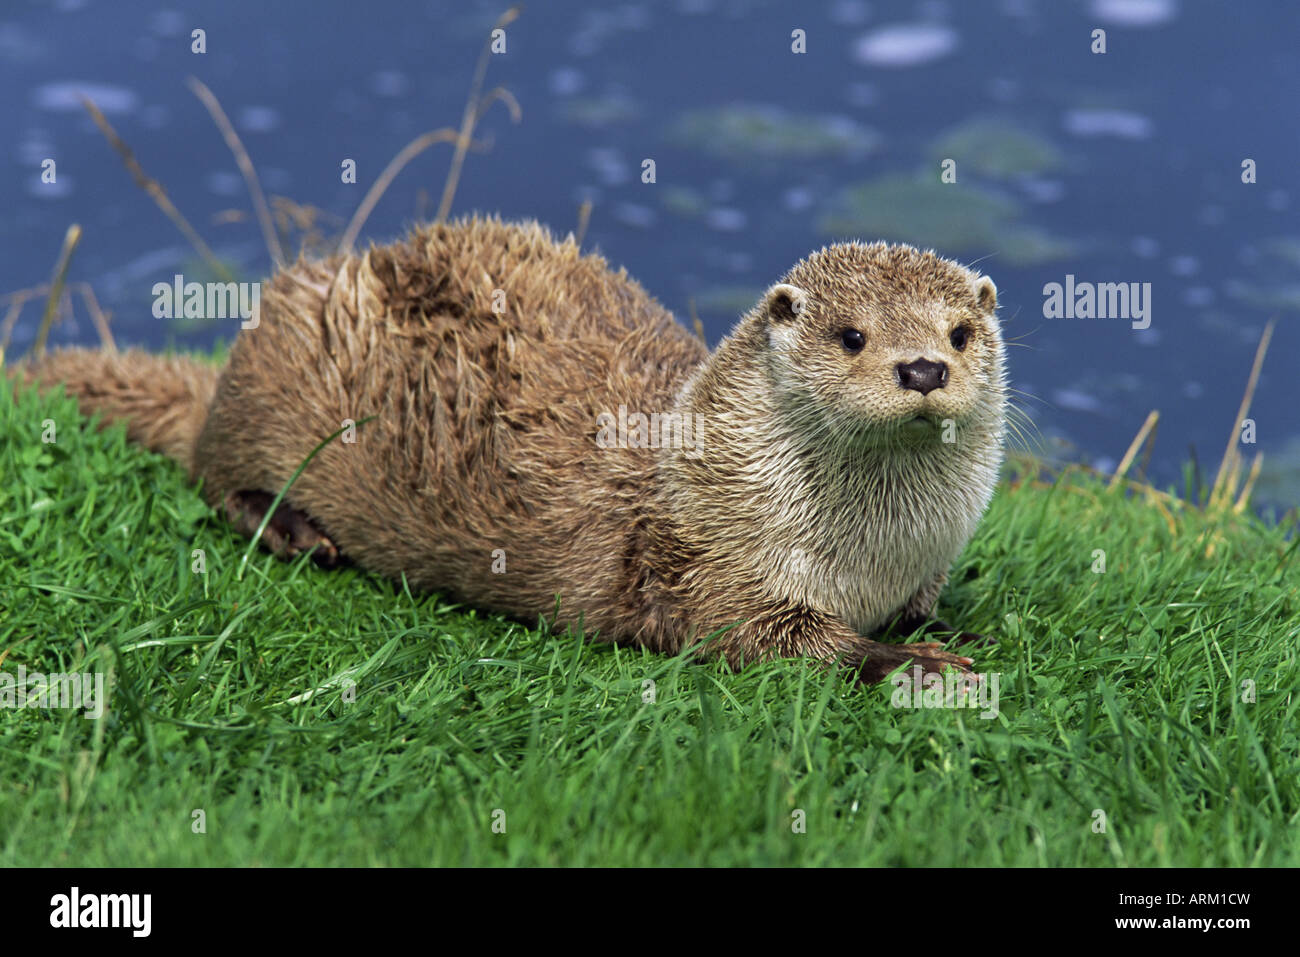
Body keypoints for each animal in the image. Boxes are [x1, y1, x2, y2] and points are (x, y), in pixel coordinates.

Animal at [16, 217, 1005, 683]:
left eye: (959, 333)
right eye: (851, 335)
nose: (922, 367)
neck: (869, 558)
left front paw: (943, 628)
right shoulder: (706, 564)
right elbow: (764, 638)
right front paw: (916, 664)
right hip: (279, 368)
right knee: (211, 468)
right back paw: (292, 527)